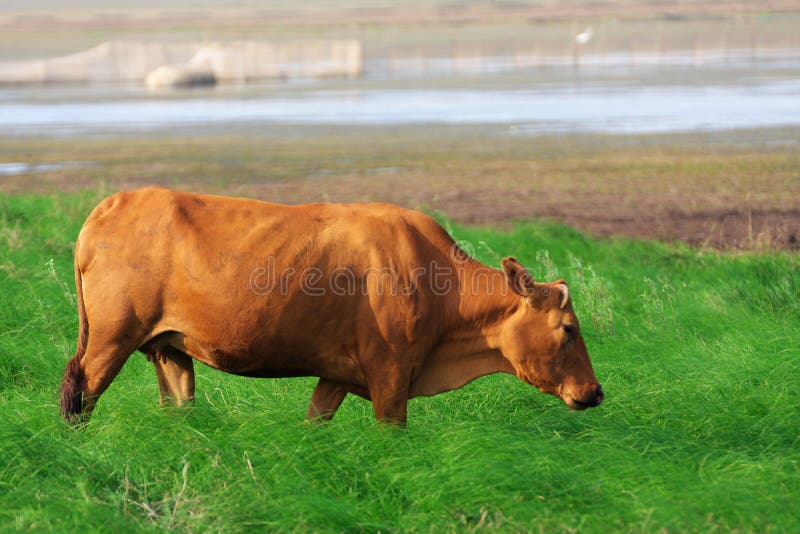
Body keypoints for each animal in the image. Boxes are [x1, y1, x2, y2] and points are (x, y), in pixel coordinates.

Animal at [60, 187, 603, 426]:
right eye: (569, 328)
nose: (595, 392)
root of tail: (107, 206)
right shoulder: (391, 375)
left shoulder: (337, 375)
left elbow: (314, 423)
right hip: (111, 337)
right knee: (79, 393)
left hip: (170, 347)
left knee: (177, 402)